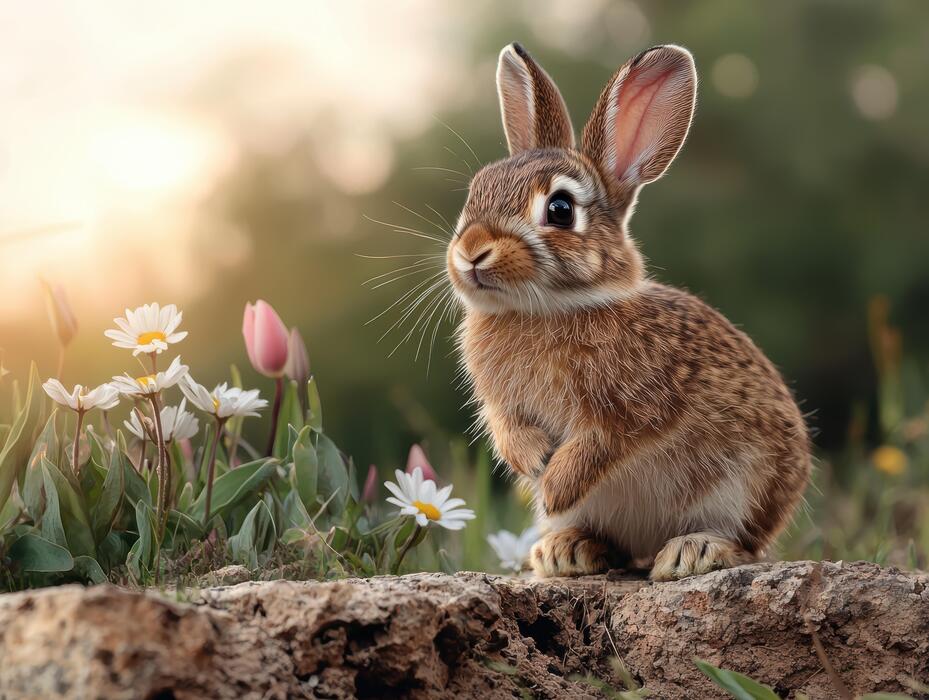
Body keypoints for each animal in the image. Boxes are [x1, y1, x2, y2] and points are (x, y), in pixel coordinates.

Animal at [445, 43, 811, 581]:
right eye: (475, 192)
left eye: (559, 209)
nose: (471, 251)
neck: (547, 307)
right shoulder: (503, 405)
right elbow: (506, 427)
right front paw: (532, 463)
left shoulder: (632, 408)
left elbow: (598, 445)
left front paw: (553, 484)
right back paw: (566, 550)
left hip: (750, 483)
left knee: (745, 543)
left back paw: (691, 552)